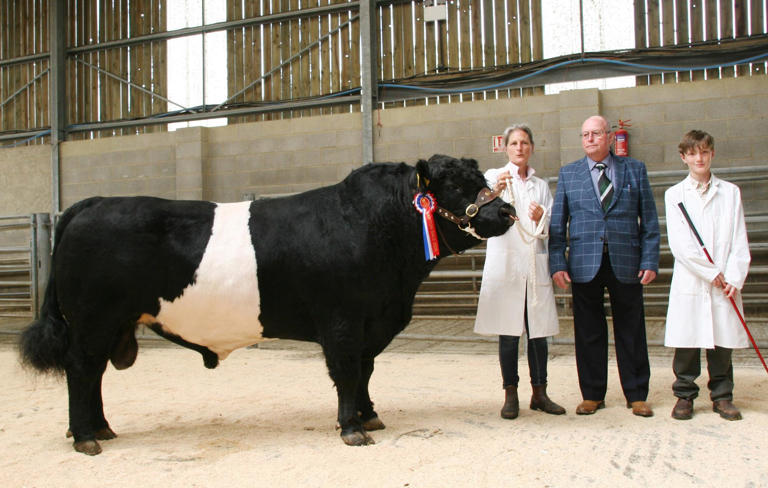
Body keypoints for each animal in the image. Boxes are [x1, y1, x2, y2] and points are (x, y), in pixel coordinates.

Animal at [19, 154, 516, 455]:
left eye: (483, 180)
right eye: (454, 187)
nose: (506, 212)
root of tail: (92, 203)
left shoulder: (371, 323)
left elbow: (366, 371)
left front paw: (370, 415)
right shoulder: (342, 321)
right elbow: (346, 372)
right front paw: (351, 427)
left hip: (107, 323)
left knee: (94, 374)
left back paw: (99, 427)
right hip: (92, 320)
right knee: (82, 370)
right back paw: (86, 436)